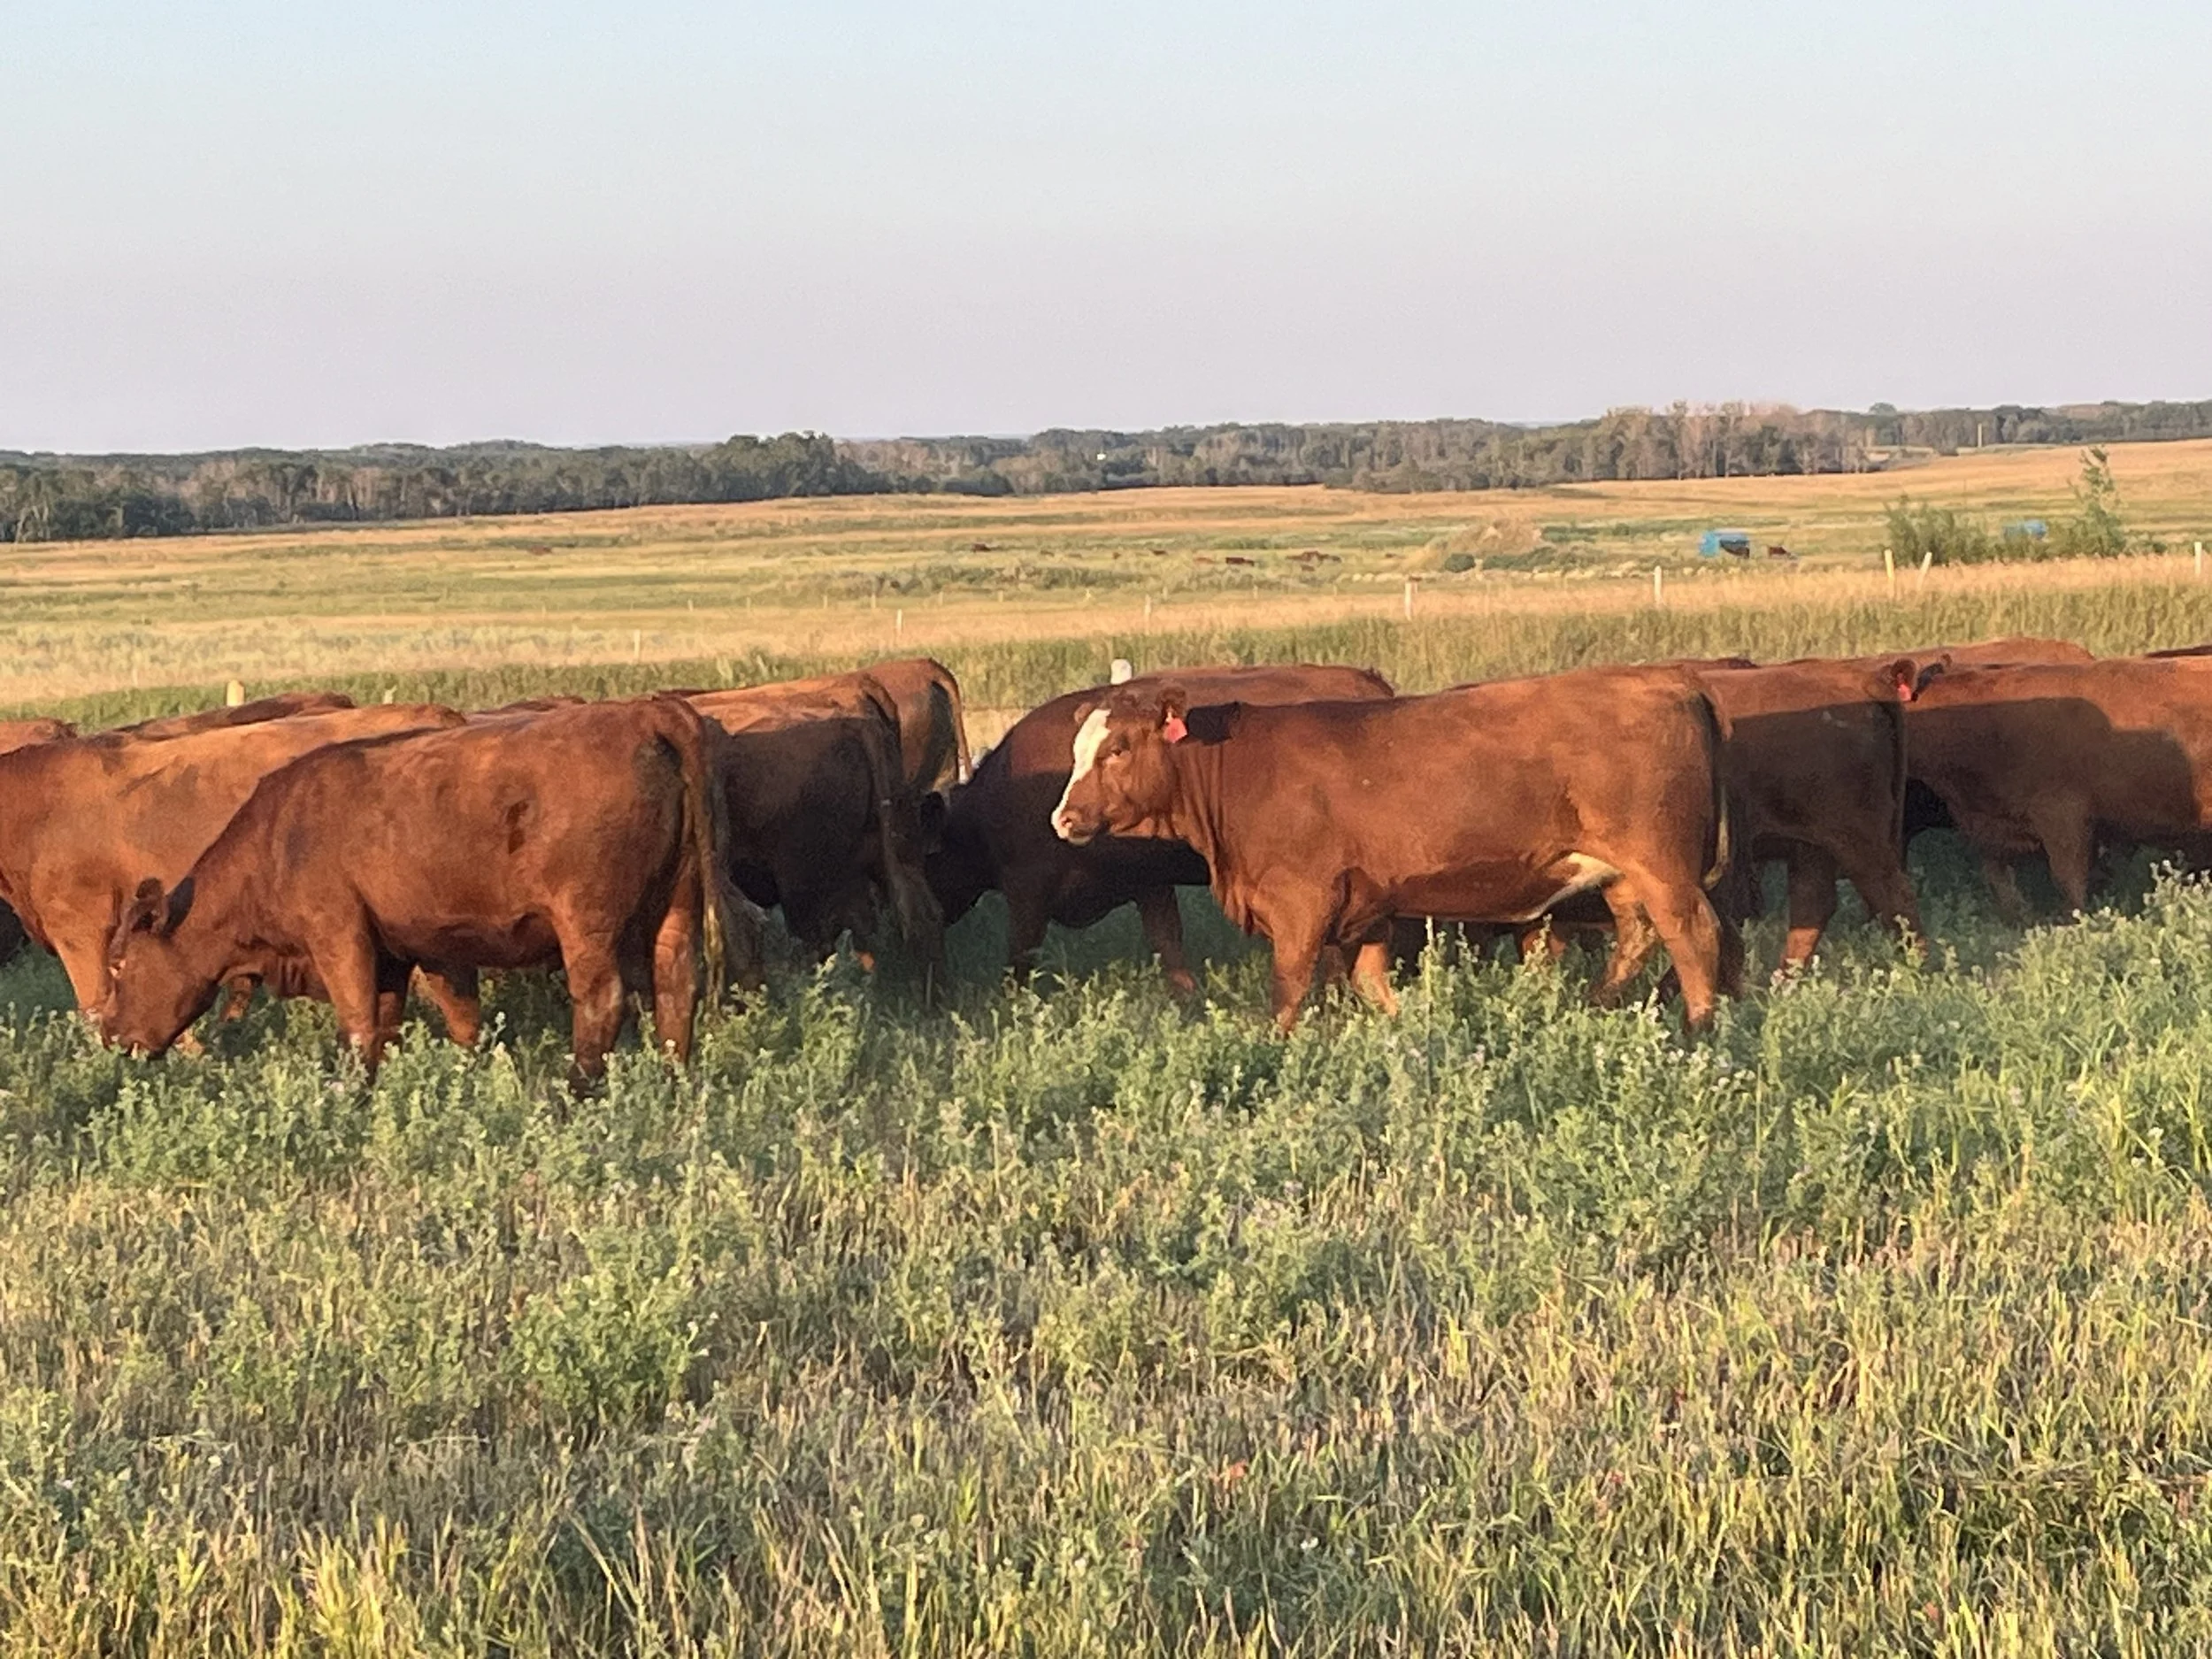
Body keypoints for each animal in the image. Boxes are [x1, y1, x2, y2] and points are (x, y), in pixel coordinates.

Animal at [93, 696, 732, 1082]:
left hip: (588, 924)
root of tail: (644, 713)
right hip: (675, 908)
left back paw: (576, 1088)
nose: (111, 1034)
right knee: (676, 988)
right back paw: (673, 1078)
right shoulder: (414, 951)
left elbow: (358, 1023)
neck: (280, 836)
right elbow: (435, 1020)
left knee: (602, 1000)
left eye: (121, 962)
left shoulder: (339, 935)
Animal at [1050, 668, 1731, 1031]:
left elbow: (1288, 990)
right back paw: (1594, 1004)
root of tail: (1670, 678)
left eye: (1118, 749)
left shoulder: (1300, 903)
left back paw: (1699, 1028)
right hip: (1622, 876)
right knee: (1638, 937)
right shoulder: (1370, 904)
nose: (1064, 817)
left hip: (1662, 868)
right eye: (1078, 750)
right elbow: (1372, 984)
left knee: (1693, 937)